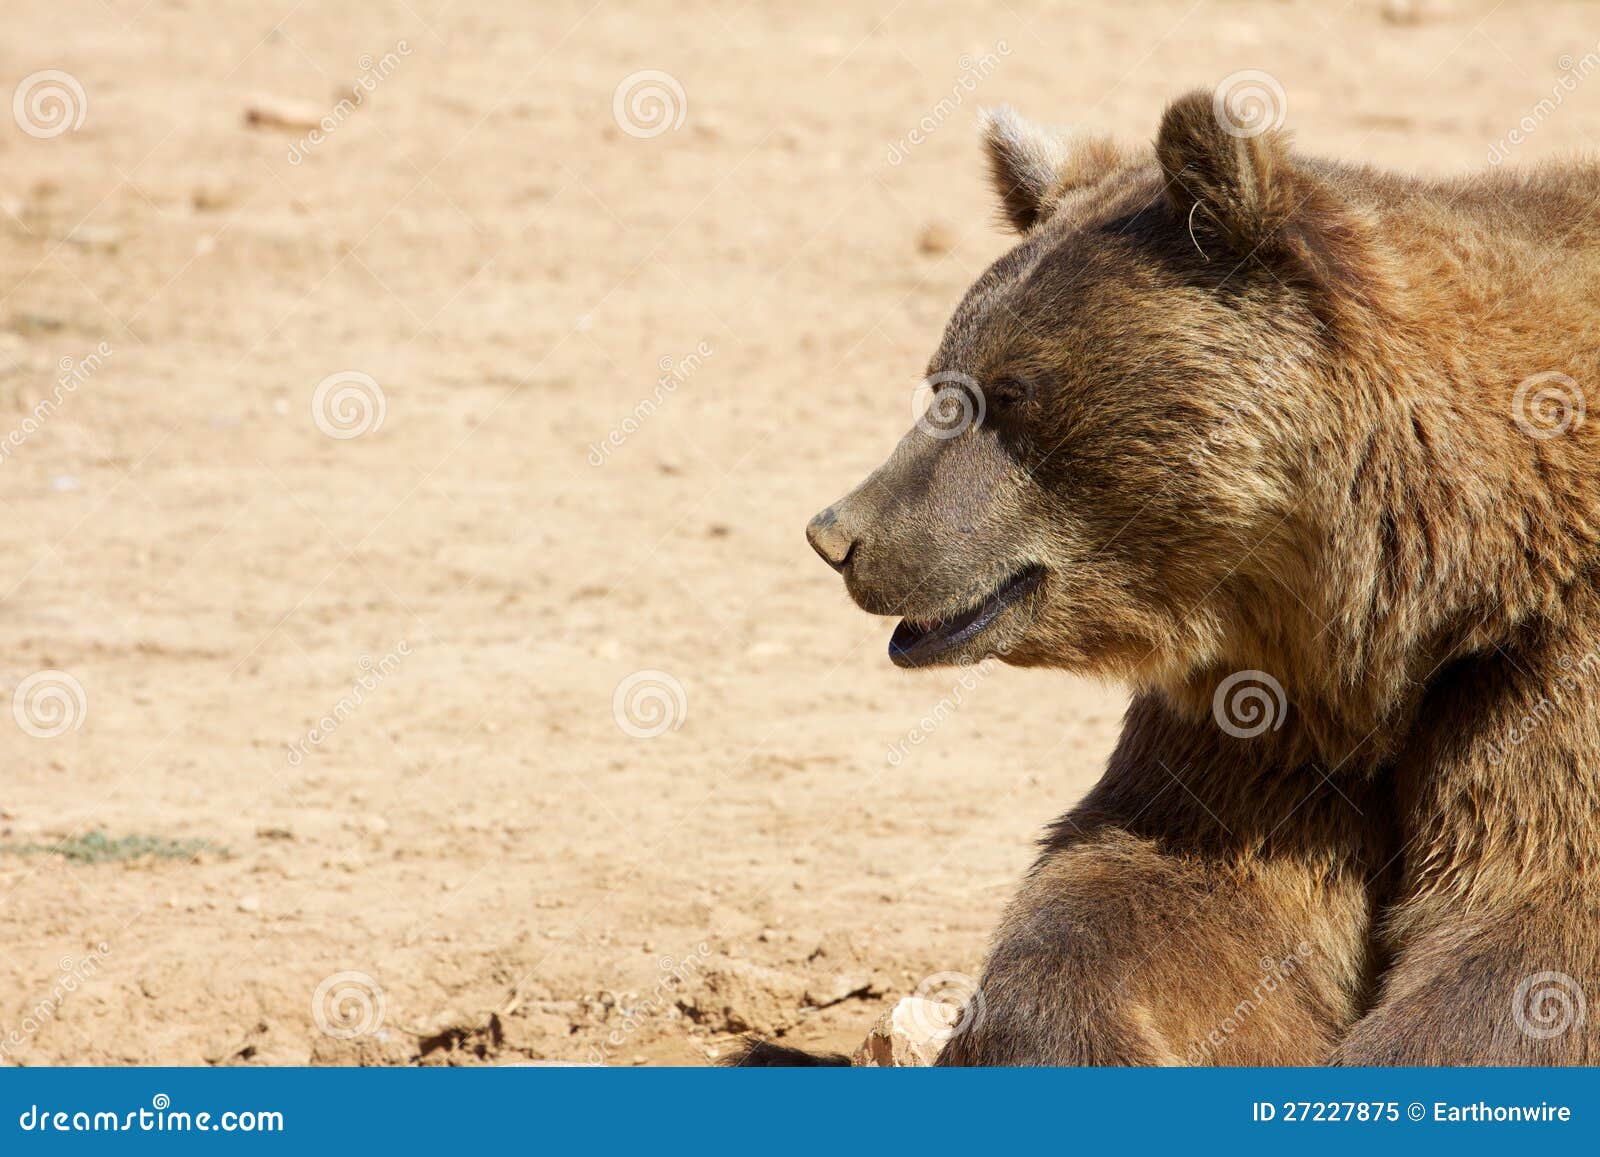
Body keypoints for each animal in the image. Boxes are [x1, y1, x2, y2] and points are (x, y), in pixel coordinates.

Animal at [794, 88, 1600, 1065]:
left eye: (1012, 391)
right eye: (942, 379)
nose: (840, 534)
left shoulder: (1539, 665)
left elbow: (1529, 935)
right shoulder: (1263, 702)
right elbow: (1168, 885)